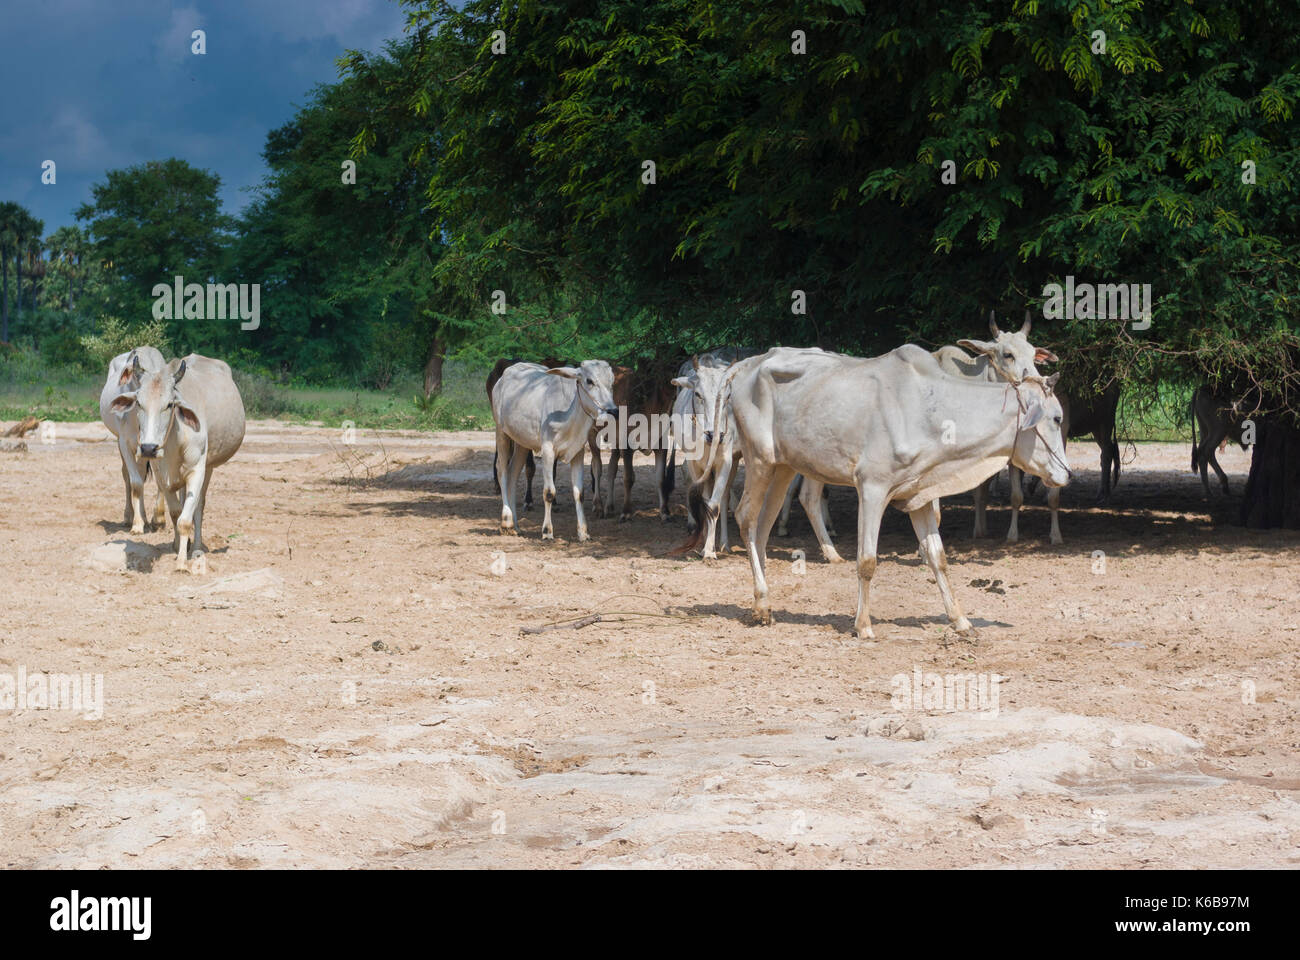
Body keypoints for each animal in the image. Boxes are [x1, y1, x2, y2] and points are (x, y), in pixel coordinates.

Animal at [100, 347, 169, 534]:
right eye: (141, 372)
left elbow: (160, 479)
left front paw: (159, 519)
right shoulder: (125, 443)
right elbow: (136, 482)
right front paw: (137, 524)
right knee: (128, 476)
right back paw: (130, 517)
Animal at [108, 354, 246, 570]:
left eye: (170, 404)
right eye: (139, 403)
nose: (148, 448)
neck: (175, 438)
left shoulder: (197, 471)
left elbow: (186, 519)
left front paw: (182, 561)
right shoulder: (162, 477)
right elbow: (175, 513)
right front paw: (178, 545)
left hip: (209, 467)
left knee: (199, 506)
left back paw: (196, 548)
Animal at [724, 344, 1069, 637]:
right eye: (1056, 418)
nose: (1066, 474)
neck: (931, 410)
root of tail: (746, 366)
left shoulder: (921, 494)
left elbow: (938, 558)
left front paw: (960, 620)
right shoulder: (871, 487)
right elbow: (867, 561)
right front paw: (863, 625)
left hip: (782, 467)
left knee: (763, 525)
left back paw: (763, 602)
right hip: (759, 459)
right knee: (745, 517)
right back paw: (762, 600)